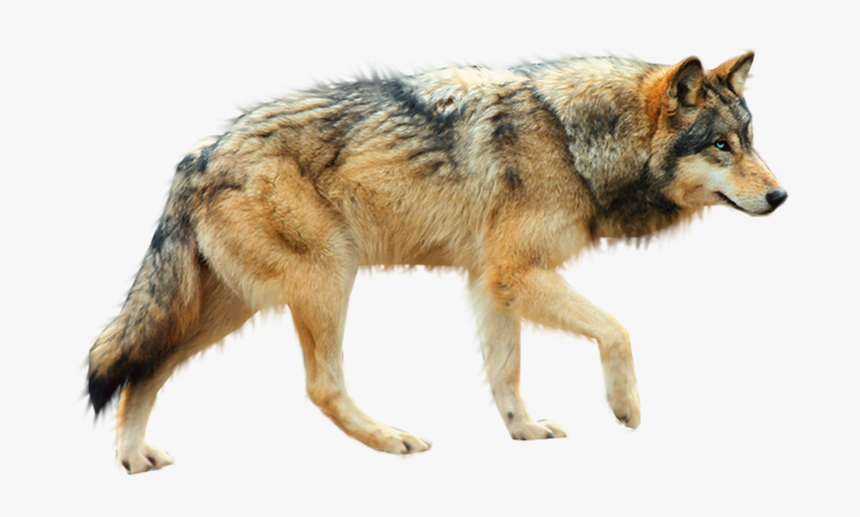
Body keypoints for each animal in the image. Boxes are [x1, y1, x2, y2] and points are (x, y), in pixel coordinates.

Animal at [88, 52, 786, 473]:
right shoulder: (514, 274)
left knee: (144, 369)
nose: (781, 197)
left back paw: (132, 460)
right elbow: (618, 329)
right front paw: (624, 408)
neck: (574, 140)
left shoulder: (491, 284)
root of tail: (198, 157)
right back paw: (393, 439)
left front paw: (524, 432)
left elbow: (506, 373)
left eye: (751, 140)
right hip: (327, 279)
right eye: (721, 146)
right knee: (320, 387)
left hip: (227, 308)